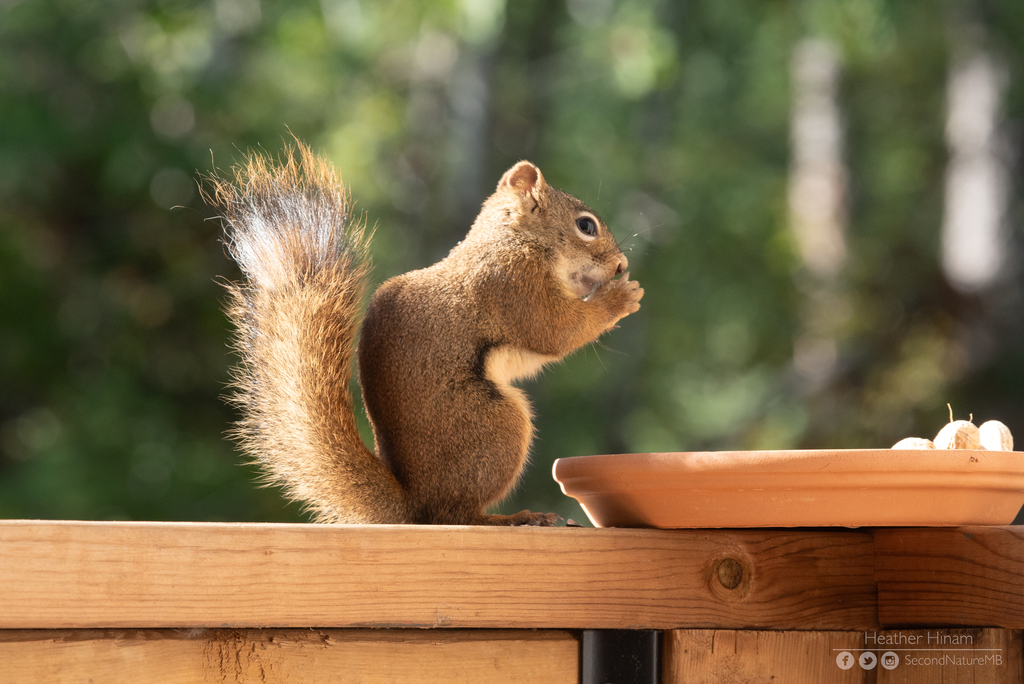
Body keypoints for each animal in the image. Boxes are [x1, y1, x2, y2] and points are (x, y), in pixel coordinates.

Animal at [207, 142, 643, 525]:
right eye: (586, 226)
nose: (622, 265)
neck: (516, 240)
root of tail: (415, 503)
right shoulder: (513, 285)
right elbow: (555, 330)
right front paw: (621, 297)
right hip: (493, 423)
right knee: (456, 515)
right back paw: (515, 518)